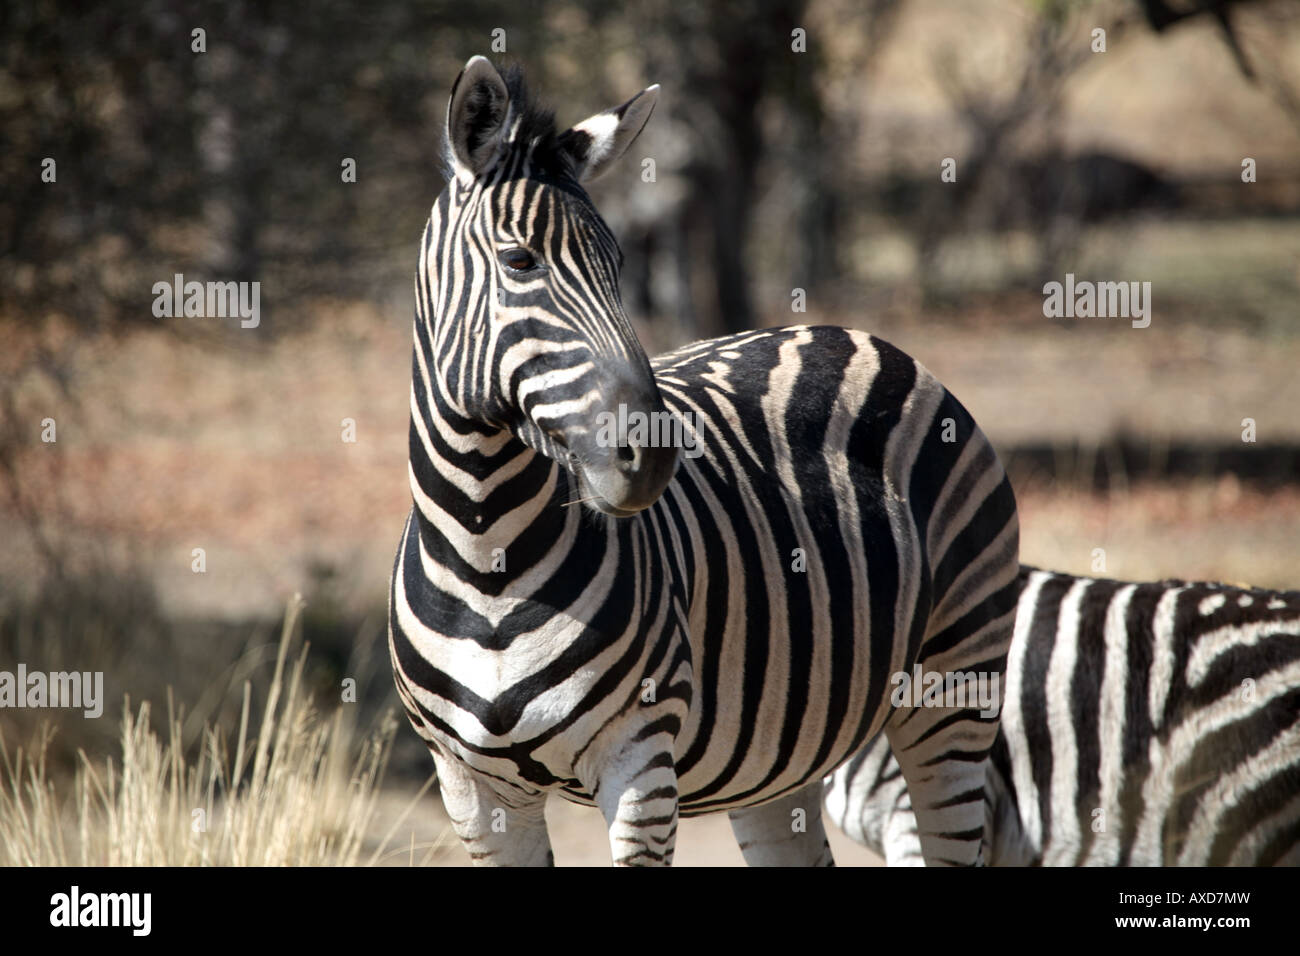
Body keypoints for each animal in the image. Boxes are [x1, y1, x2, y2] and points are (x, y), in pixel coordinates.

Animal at [387, 56, 1020, 867]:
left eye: (622, 263)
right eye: (519, 261)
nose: (651, 458)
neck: (486, 552)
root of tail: (848, 333)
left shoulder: (639, 755)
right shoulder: (469, 785)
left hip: (955, 688)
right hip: (783, 751)